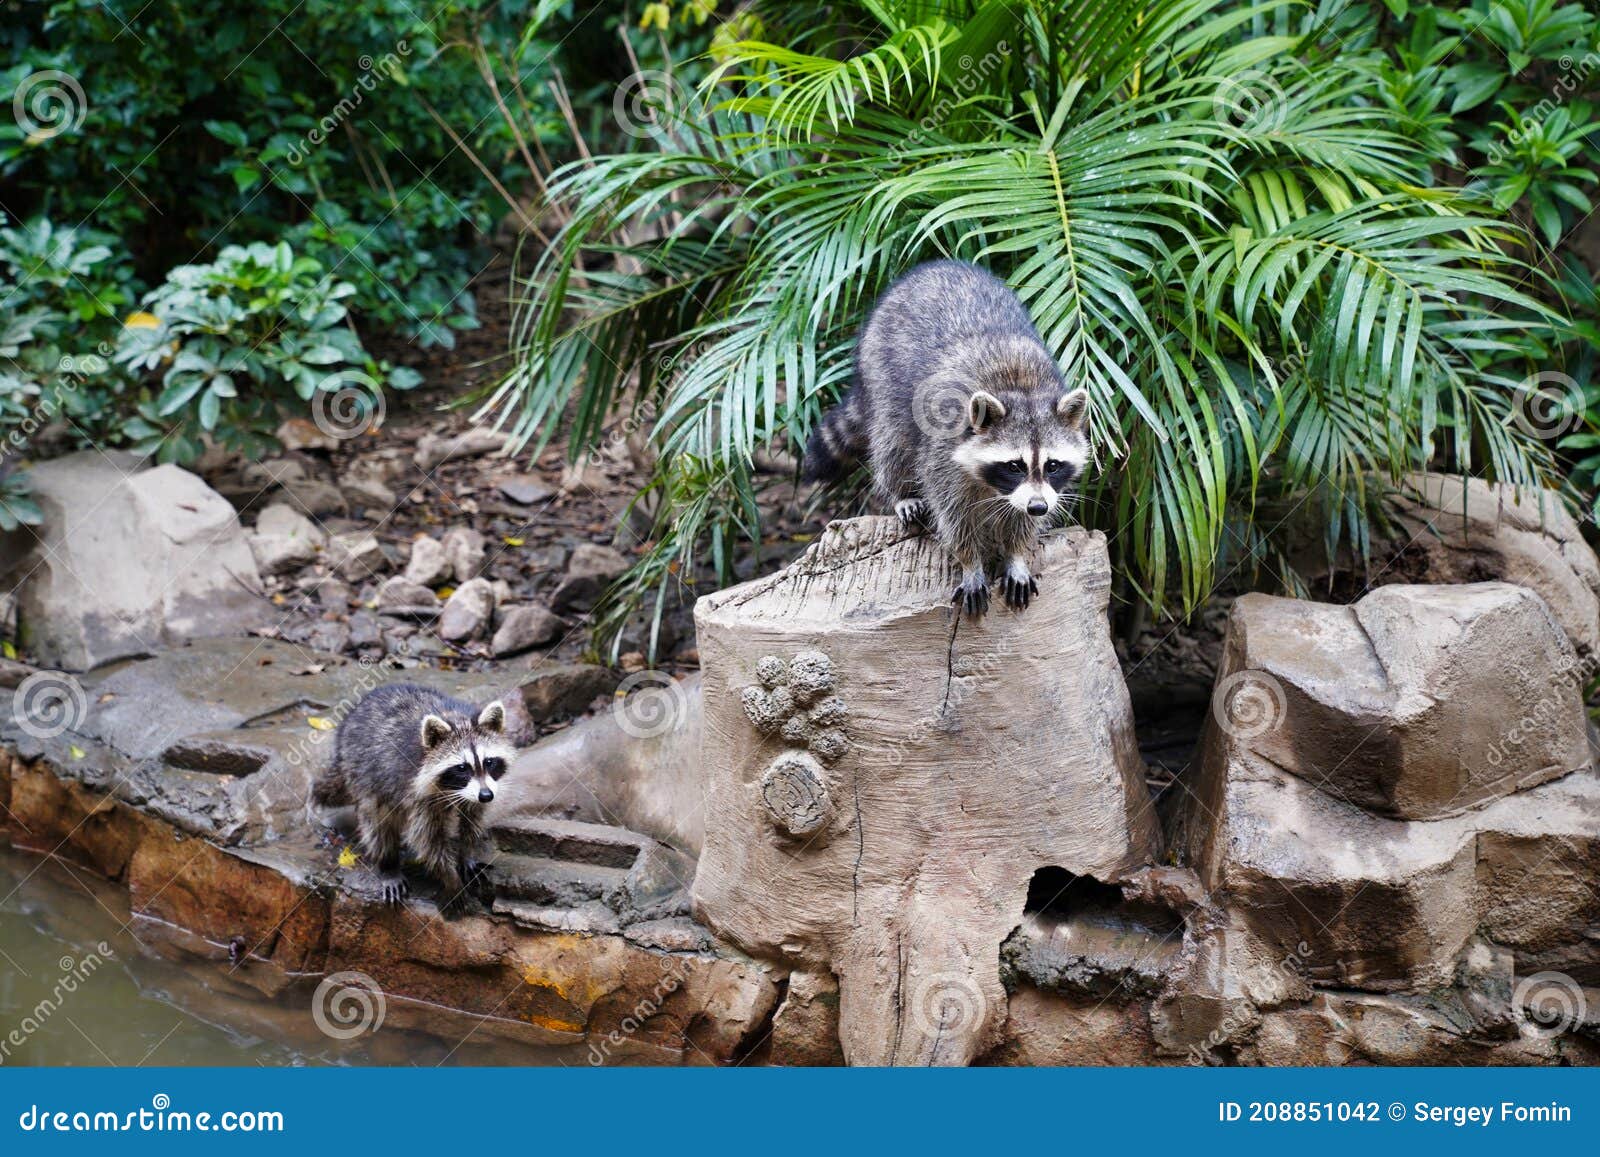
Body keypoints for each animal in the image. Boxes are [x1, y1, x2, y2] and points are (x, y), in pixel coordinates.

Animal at [311, 683, 515, 910]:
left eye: (489, 762)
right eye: (462, 768)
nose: (486, 796)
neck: (456, 718)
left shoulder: (475, 794)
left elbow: (471, 819)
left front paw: (466, 854)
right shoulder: (416, 792)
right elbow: (427, 839)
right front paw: (450, 878)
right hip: (364, 773)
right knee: (377, 821)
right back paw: (388, 864)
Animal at [804, 260, 1089, 615]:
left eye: (1052, 465)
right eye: (1014, 466)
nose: (1037, 506)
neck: (1020, 388)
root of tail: (934, 266)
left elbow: (1021, 521)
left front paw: (1017, 555)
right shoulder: (943, 448)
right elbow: (952, 514)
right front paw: (970, 563)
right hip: (882, 372)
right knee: (891, 440)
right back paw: (901, 492)